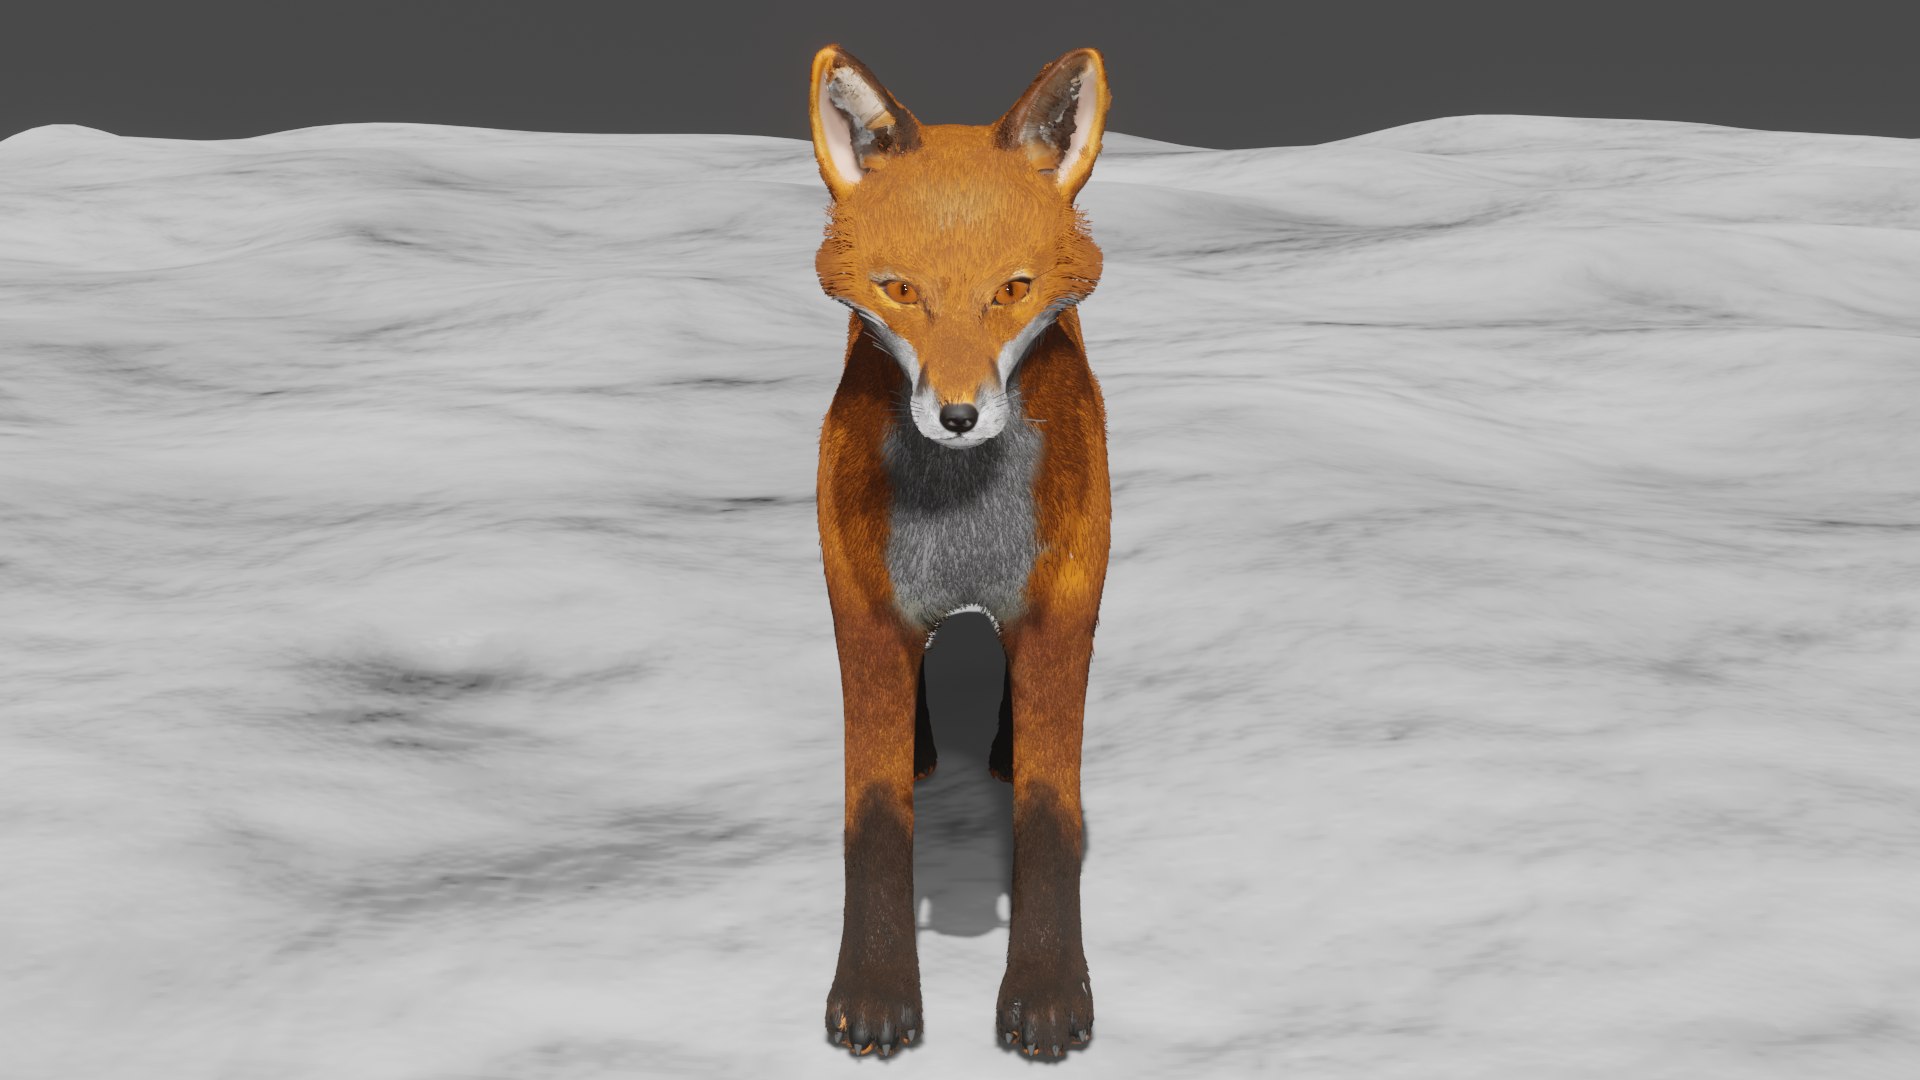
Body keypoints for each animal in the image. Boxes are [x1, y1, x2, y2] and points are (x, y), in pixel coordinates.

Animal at [808, 43, 1113, 1059]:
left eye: (1010, 289)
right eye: (901, 289)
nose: (957, 415)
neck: (963, 530)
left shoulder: (1060, 606)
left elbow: (1052, 817)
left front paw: (1048, 990)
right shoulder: (866, 609)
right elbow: (871, 817)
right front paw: (874, 989)